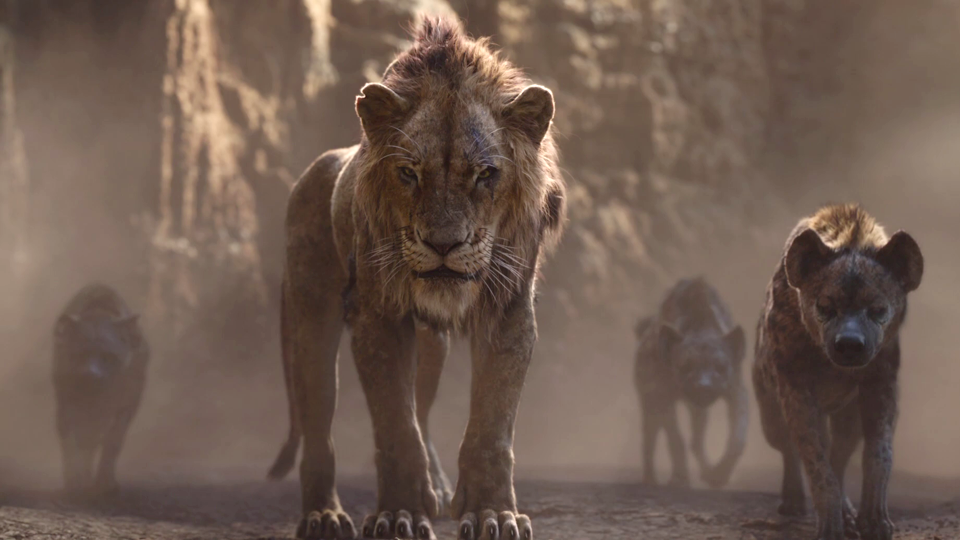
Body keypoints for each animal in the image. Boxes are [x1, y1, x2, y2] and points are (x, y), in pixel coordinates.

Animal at [266, 17, 566, 540]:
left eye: (485, 174)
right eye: (408, 173)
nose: (444, 245)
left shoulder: (509, 312)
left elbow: (490, 427)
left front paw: (491, 514)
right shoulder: (379, 317)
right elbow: (395, 426)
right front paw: (398, 515)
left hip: (431, 347)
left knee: (422, 409)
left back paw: (439, 488)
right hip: (311, 318)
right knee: (319, 425)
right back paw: (323, 515)